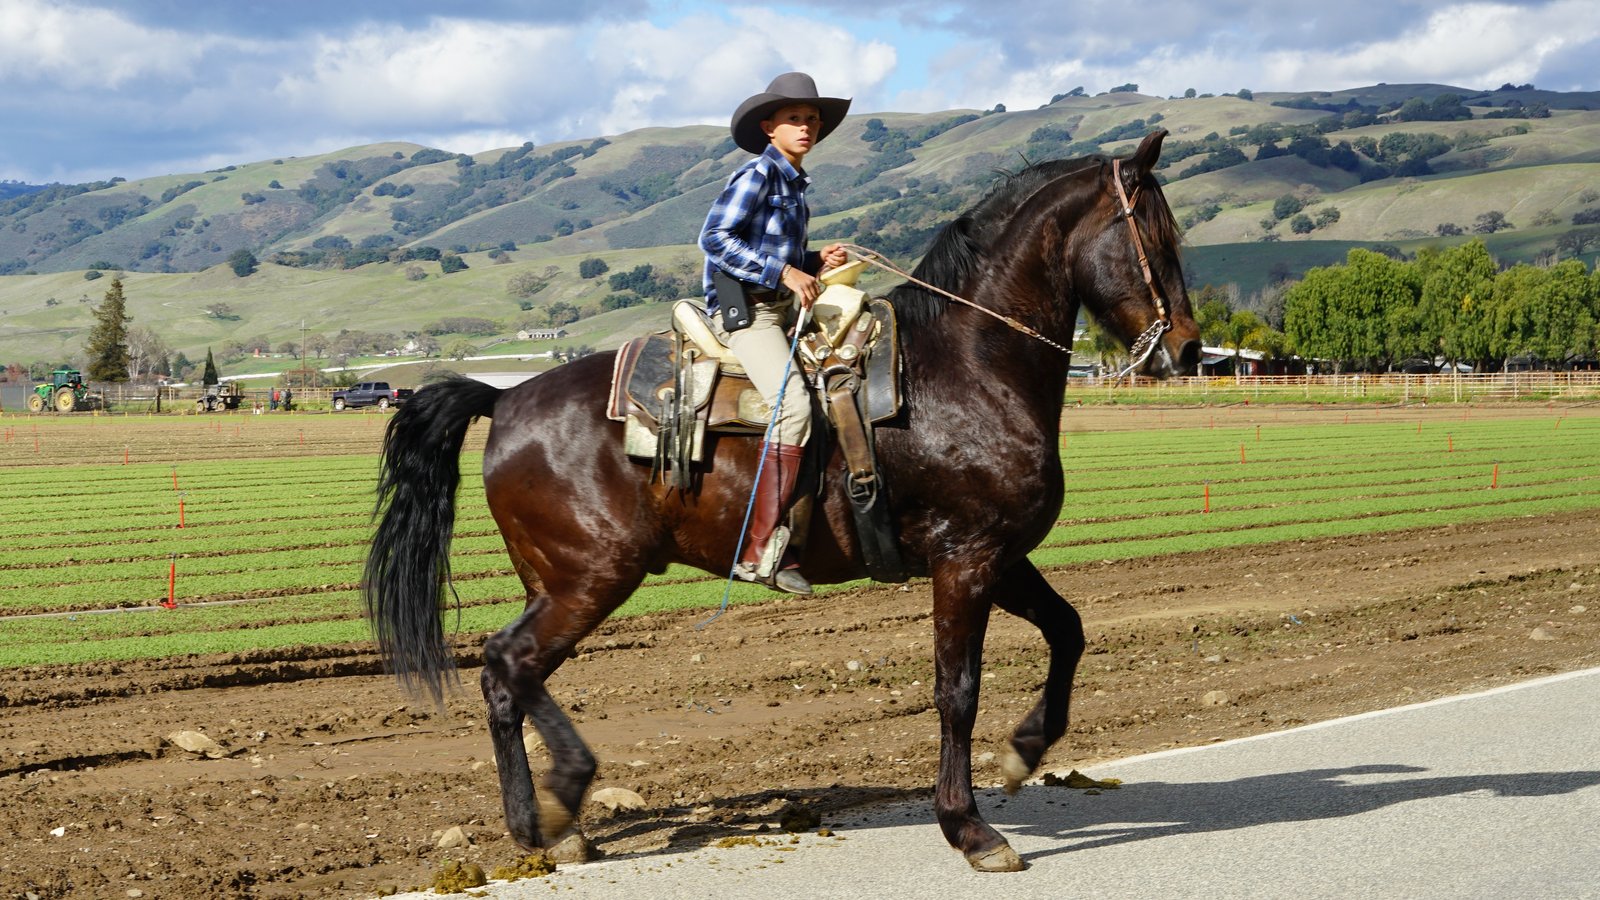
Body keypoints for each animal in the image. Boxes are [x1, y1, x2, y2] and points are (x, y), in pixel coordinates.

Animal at [364, 129, 1200, 872]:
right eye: (1159, 238)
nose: (1188, 348)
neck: (966, 366)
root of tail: (504, 401)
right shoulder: (965, 559)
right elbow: (956, 691)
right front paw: (969, 828)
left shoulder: (1000, 555)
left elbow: (1069, 631)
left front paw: (1024, 751)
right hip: (589, 578)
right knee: (509, 664)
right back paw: (553, 809)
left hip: (560, 580)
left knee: (512, 673)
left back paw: (556, 822)